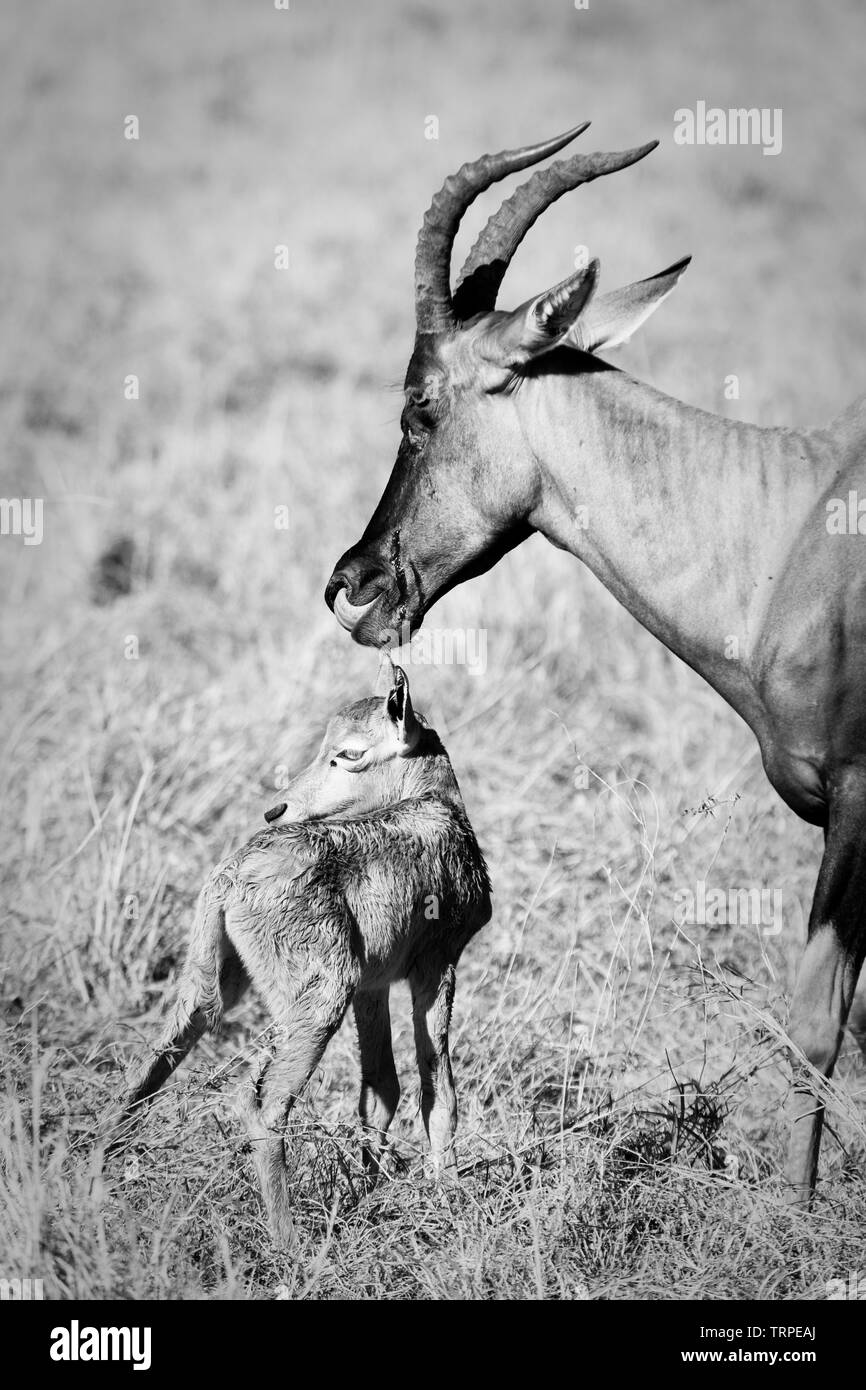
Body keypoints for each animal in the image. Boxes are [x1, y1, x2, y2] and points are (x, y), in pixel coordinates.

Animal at [102, 665, 491, 1245]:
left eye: (348, 752)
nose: (276, 808)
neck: (434, 808)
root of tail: (230, 878)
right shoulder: (436, 968)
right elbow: (437, 1089)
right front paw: (449, 1197)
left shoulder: (374, 986)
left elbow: (380, 1089)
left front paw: (368, 1186)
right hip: (320, 1000)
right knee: (261, 1103)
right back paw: (289, 1242)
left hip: (211, 987)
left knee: (147, 1066)